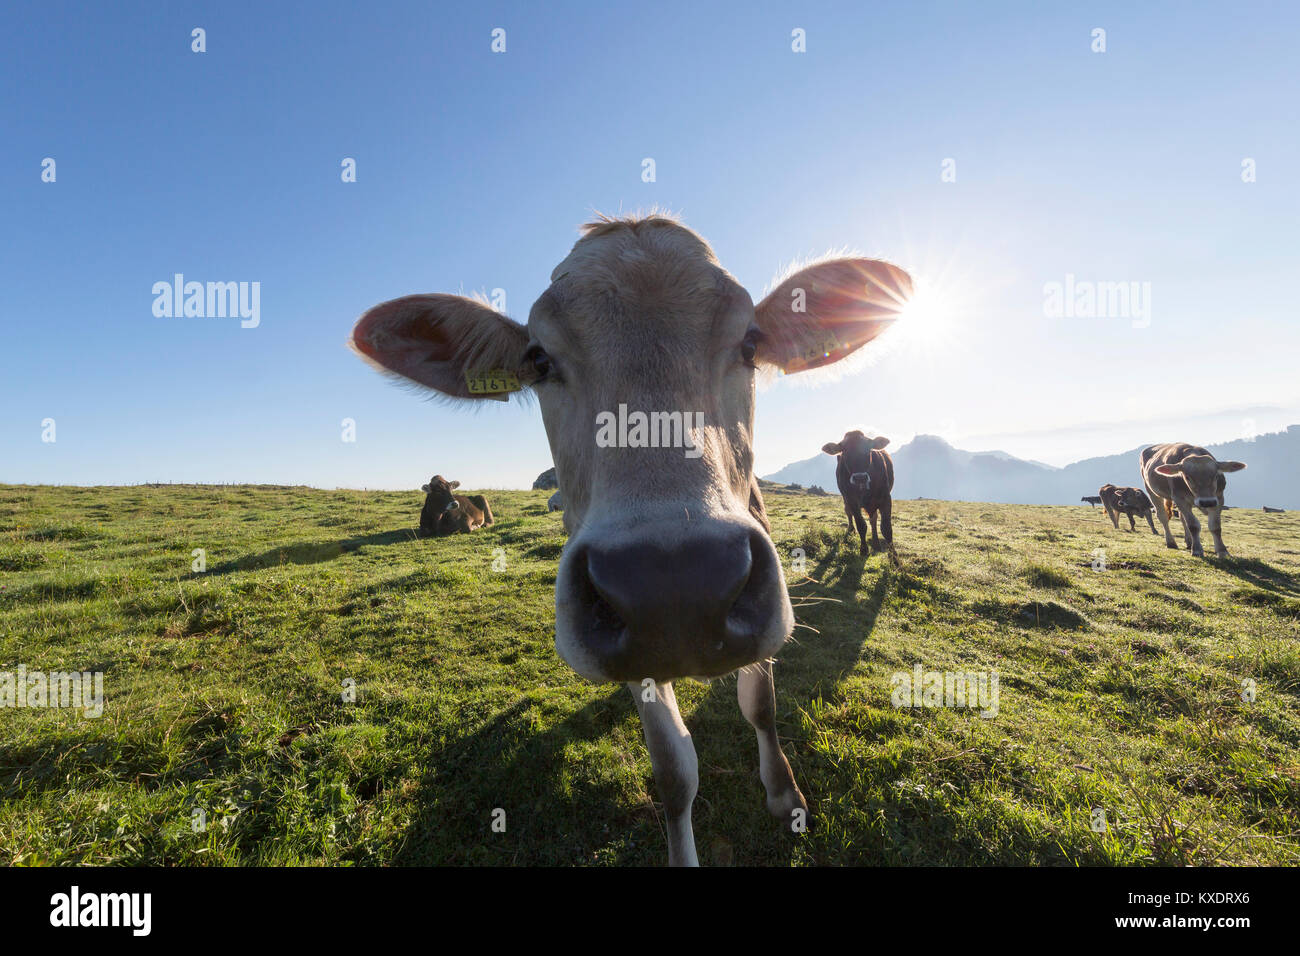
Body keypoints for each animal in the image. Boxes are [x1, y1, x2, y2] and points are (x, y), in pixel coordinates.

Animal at [350, 213, 912, 865]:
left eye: (751, 343)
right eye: (538, 360)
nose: (674, 586)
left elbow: (761, 705)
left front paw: (784, 795)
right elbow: (673, 770)